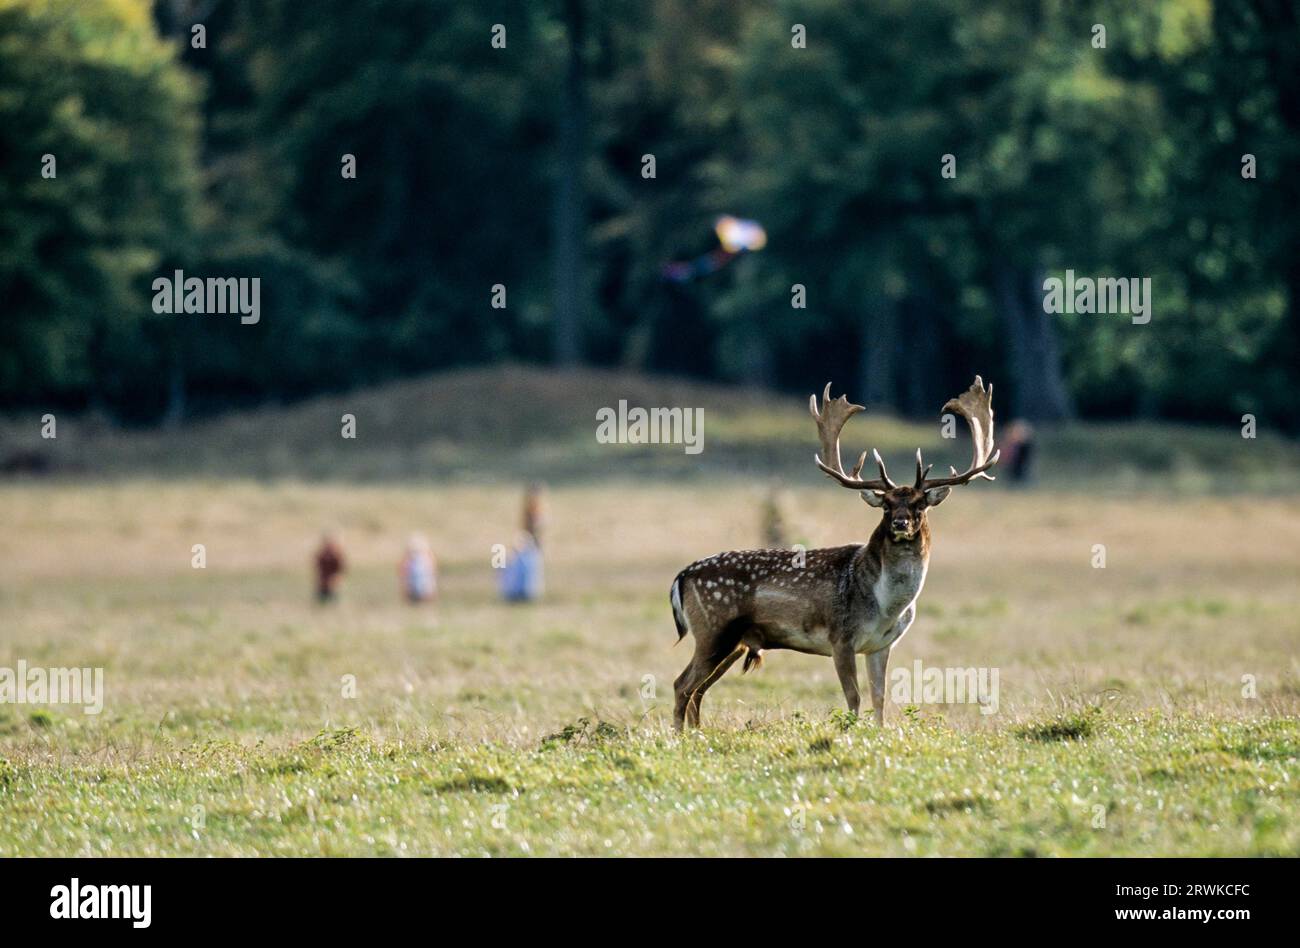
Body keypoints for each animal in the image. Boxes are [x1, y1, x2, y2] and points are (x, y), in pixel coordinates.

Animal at [668, 376, 999, 731]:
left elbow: (880, 698)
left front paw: (879, 732)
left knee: (698, 691)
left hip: (733, 641)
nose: (900, 523)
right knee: (682, 684)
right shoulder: (840, 637)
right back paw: (679, 736)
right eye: (886, 505)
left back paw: (697, 733)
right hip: (714, 629)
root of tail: (681, 577)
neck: (886, 606)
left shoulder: (881, 645)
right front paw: (849, 731)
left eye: (920, 505)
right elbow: (853, 698)